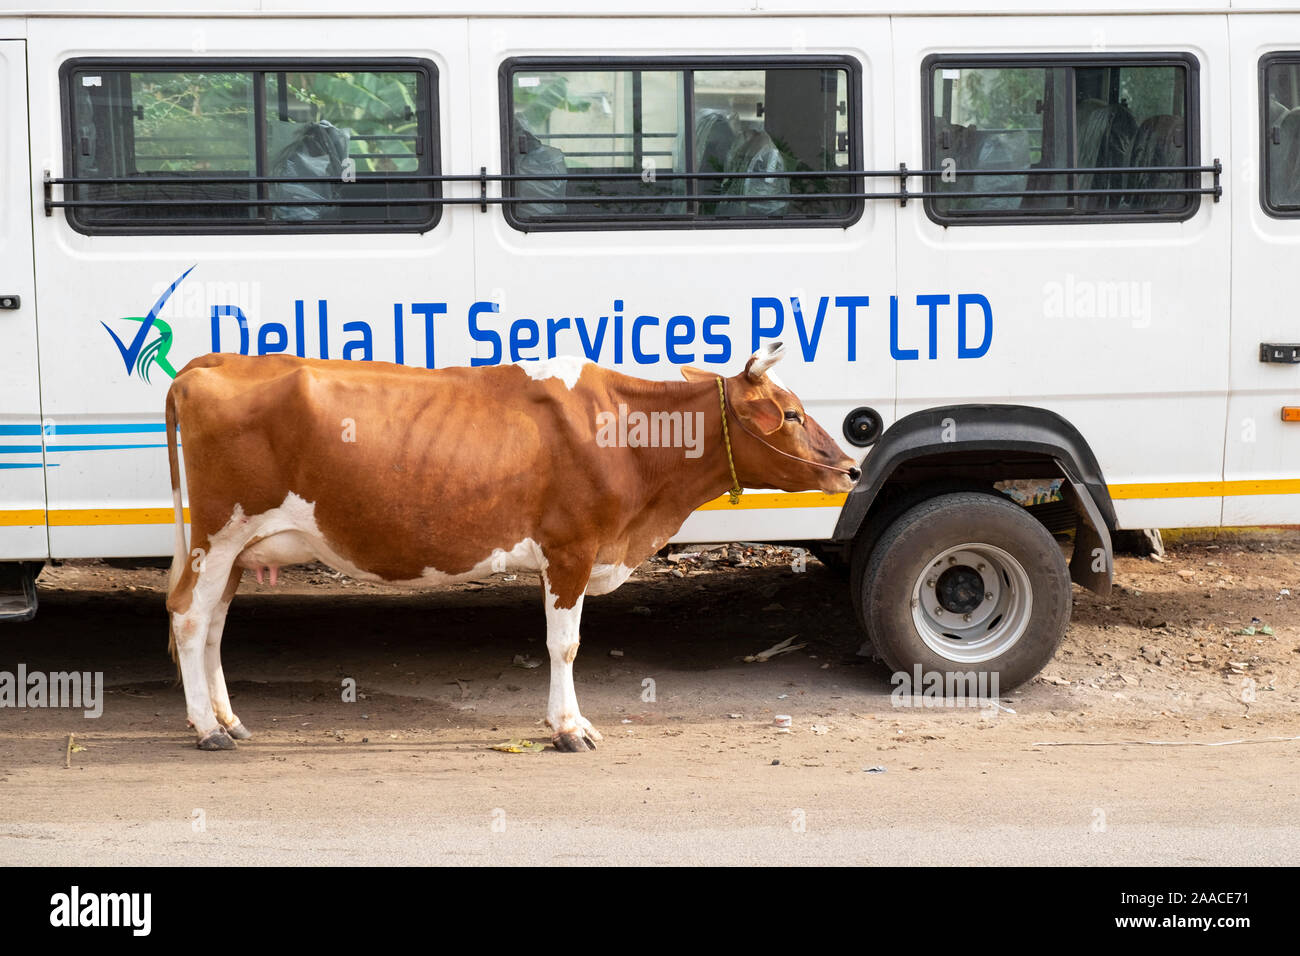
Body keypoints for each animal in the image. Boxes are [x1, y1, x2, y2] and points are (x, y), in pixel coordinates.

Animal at [163, 342, 859, 752]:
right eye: (791, 414)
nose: (852, 469)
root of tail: (211, 362)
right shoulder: (572, 548)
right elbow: (565, 644)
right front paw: (569, 728)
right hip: (218, 535)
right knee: (190, 617)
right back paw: (206, 729)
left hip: (236, 547)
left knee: (214, 623)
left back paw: (229, 719)